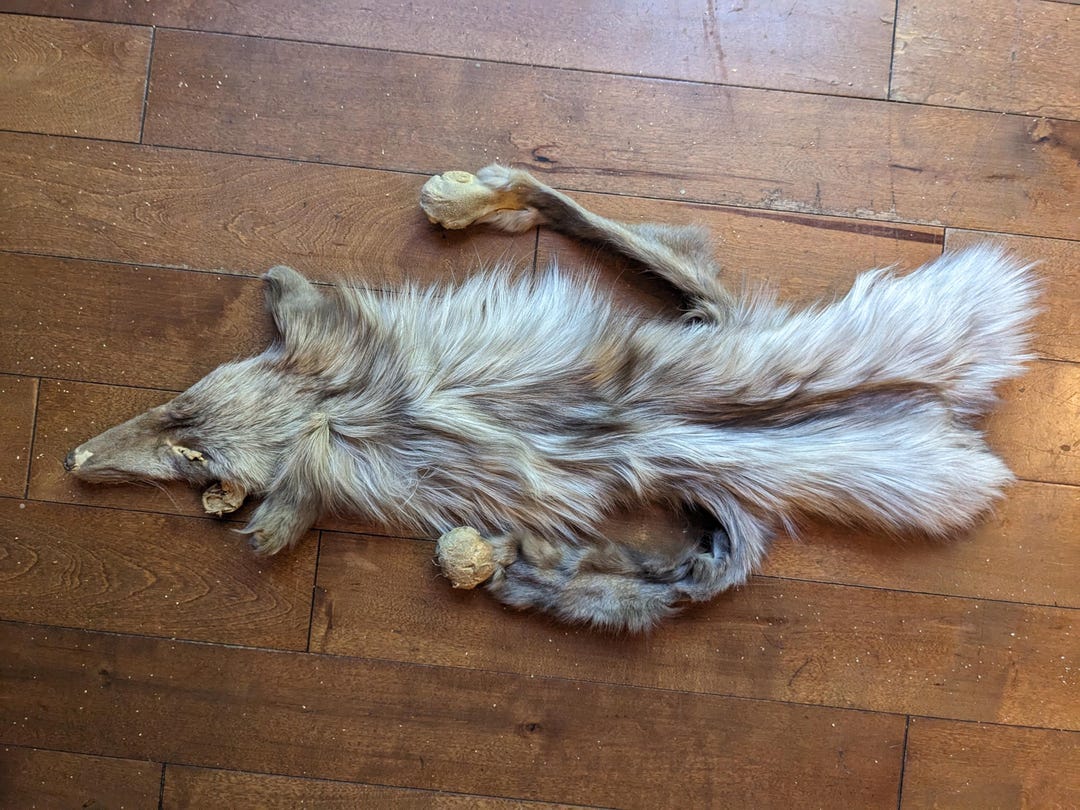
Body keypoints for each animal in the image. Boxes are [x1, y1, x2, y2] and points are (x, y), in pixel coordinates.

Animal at [64, 165, 1039, 631]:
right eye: (178, 409)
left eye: (183, 441)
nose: (74, 457)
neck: (334, 413)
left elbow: (281, 521)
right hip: (705, 447)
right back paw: (486, 556)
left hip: (694, 392)